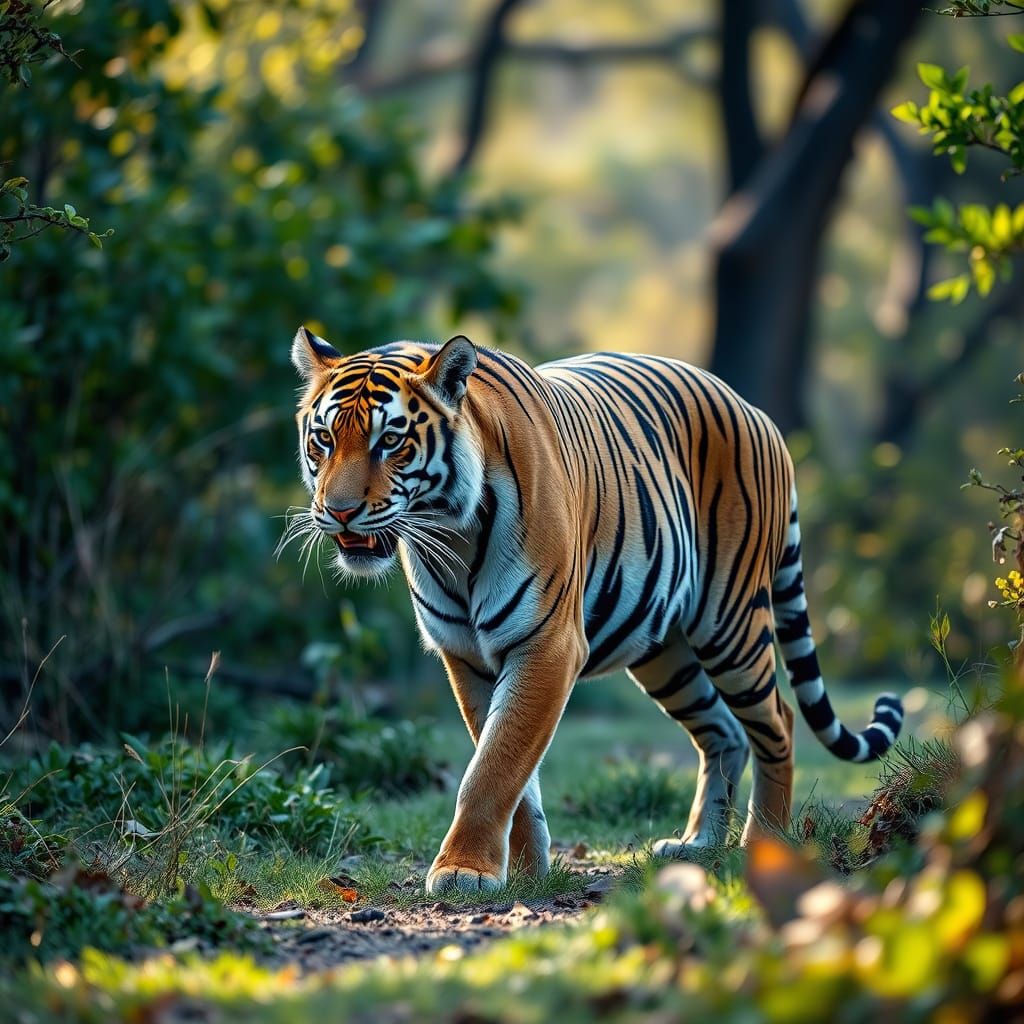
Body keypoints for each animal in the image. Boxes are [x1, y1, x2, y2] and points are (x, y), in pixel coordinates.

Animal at [288, 326, 904, 894]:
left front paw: (464, 870)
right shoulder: (466, 655)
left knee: (777, 719)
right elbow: (509, 767)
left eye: (390, 441)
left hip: (729, 621)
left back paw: (764, 846)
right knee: (723, 730)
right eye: (323, 440)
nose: (338, 512)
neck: (450, 537)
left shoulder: (547, 643)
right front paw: (527, 872)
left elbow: (494, 766)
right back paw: (697, 845)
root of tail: (757, 412)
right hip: (665, 651)